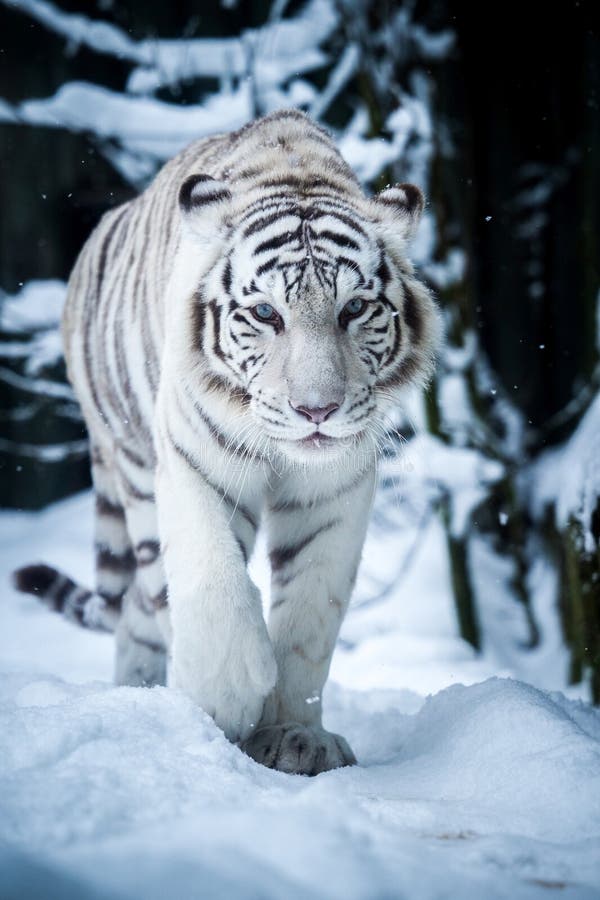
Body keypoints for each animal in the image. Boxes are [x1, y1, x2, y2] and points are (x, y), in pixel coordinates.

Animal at [14, 109, 440, 775]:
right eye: (266, 315)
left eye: (354, 309)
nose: (317, 410)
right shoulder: (191, 463)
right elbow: (215, 578)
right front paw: (229, 698)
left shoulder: (334, 492)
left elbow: (310, 617)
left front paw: (295, 736)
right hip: (134, 473)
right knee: (150, 602)